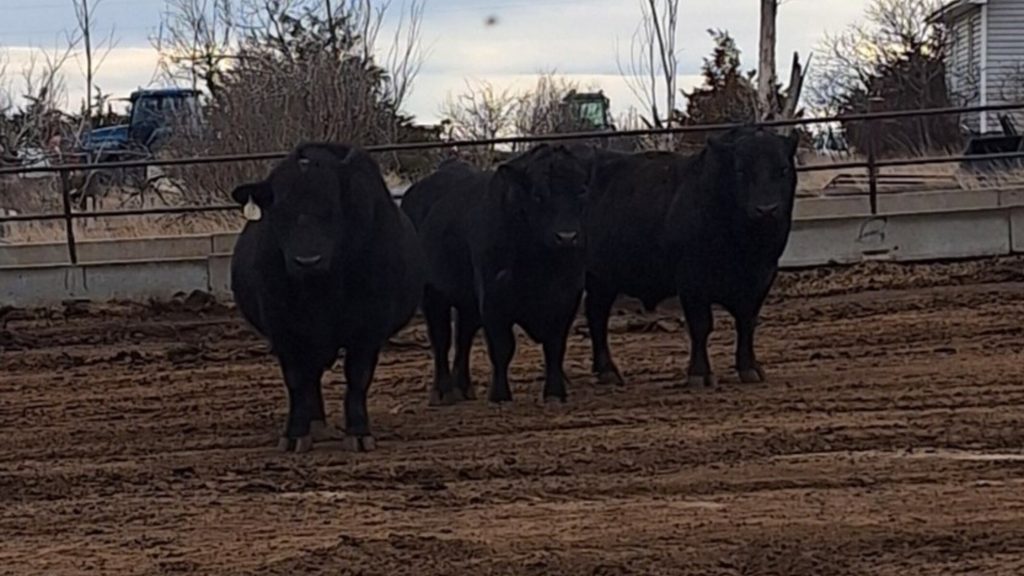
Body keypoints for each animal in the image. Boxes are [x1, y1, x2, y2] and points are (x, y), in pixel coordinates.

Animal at [230, 142, 424, 453]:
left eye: (332, 210)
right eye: (279, 211)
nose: (307, 261)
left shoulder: (368, 329)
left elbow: (357, 378)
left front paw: (359, 433)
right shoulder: (284, 330)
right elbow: (297, 380)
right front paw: (294, 435)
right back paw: (315, 424)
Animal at [402, 144, 591, 405]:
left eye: (581, 191)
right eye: (538, 195)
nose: (566, 237)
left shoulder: (568, 296)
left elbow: (555, 345)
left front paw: (555, 393)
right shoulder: (493, 295)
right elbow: (502, 347)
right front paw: (500, 395)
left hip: (468, 301)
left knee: (464, 337)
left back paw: (464, 388)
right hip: (432, 294)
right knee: (441, 339)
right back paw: (443, 392)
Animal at [584, 127, 799, 388]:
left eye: (783, 169)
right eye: (740, 170)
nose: (766, 209)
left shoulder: (762, 278)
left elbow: (747, 322)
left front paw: (750, 367)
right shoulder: (692, 280)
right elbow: (701, 326)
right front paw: (700, 373)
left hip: (602, 279)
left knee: (596, 313)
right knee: (597, 315)